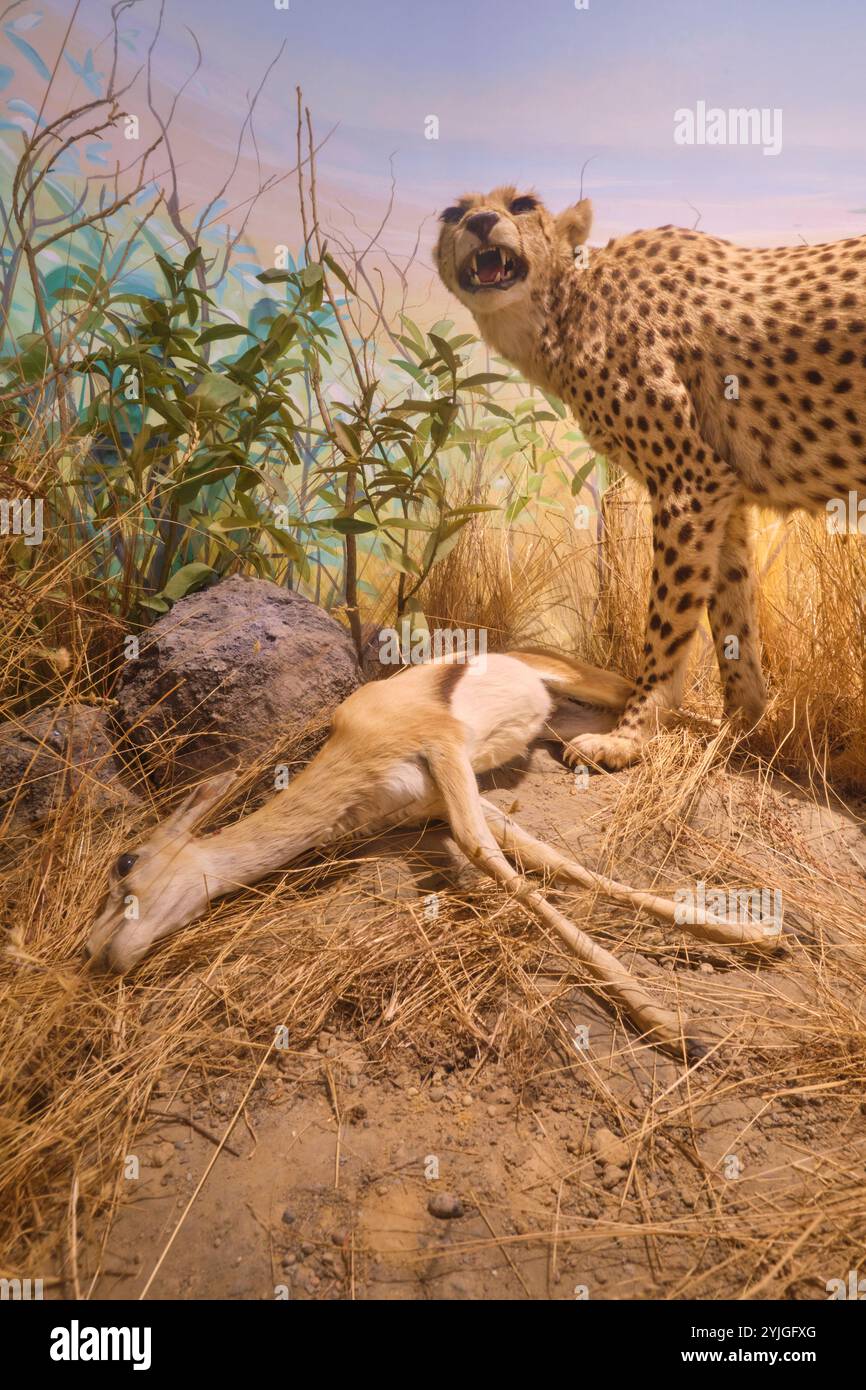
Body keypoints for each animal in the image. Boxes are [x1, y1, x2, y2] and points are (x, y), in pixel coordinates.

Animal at [435, 186, 866, 769]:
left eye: (522, 204)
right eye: (453, 213)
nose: (481, 221)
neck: (565, 310)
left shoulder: (690, 481)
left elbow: (667, 620)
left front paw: (629, 736)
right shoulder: (721, 491)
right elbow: (731, 610)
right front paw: (740, 725)